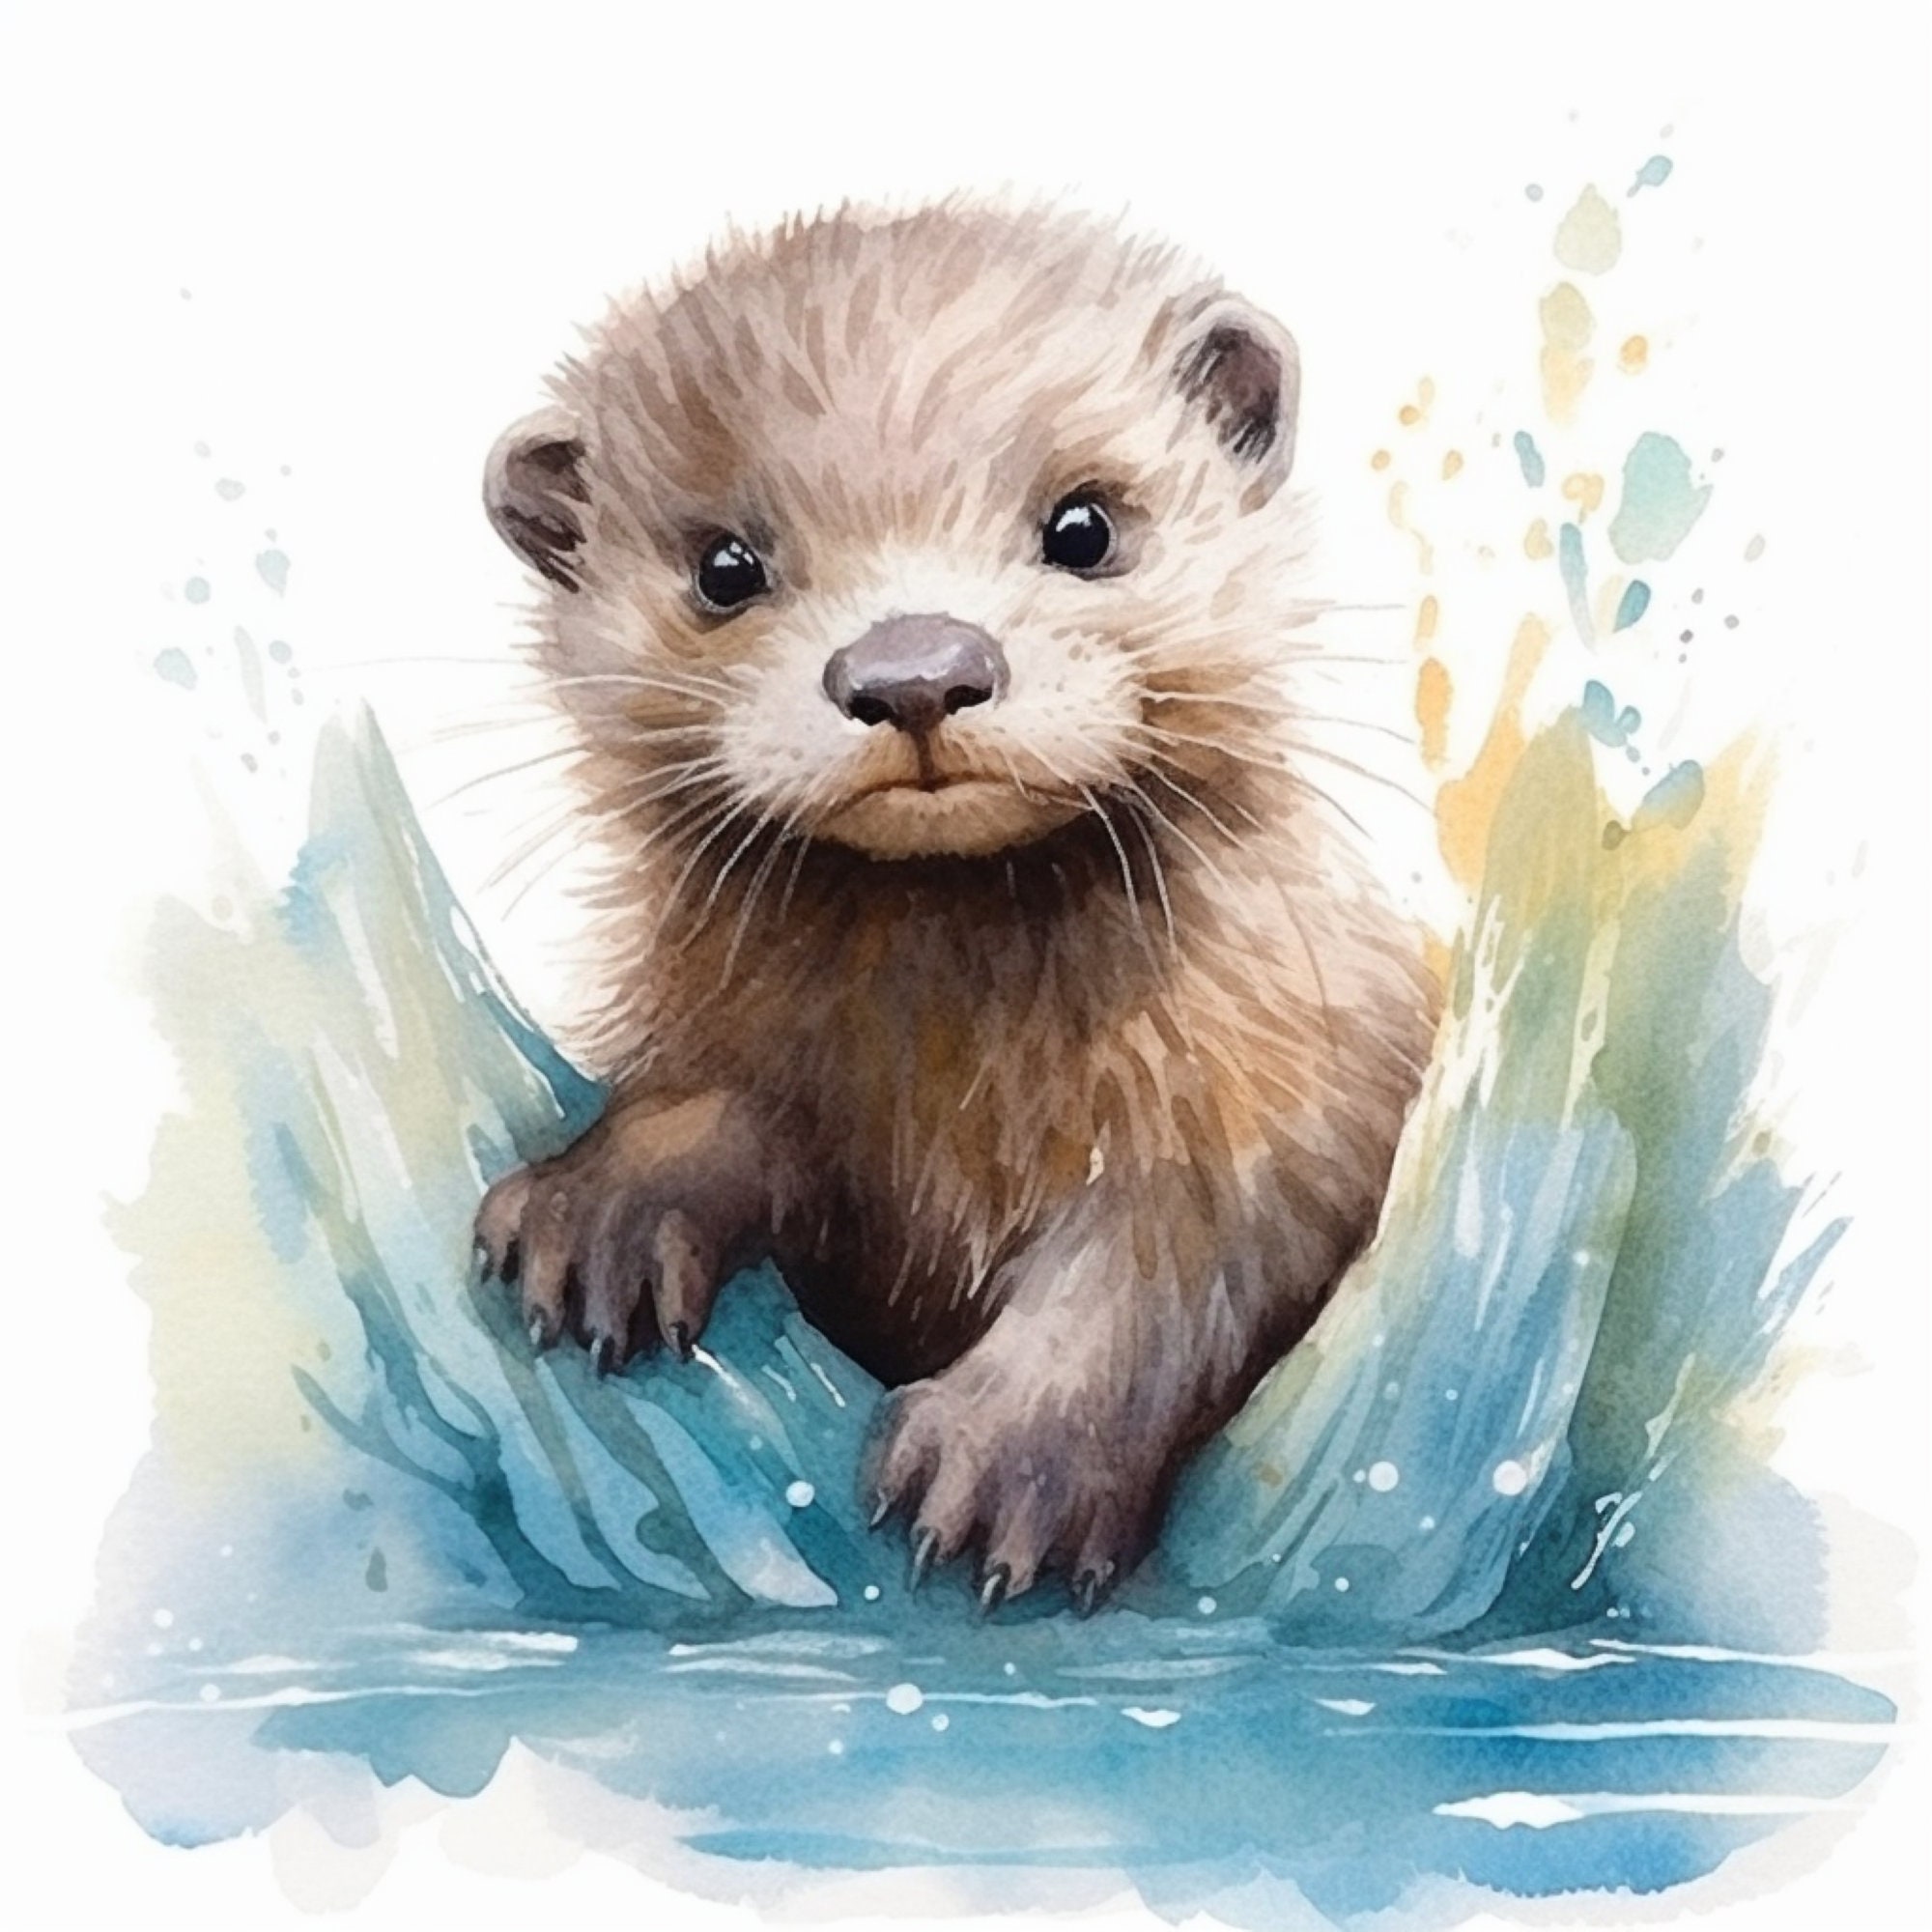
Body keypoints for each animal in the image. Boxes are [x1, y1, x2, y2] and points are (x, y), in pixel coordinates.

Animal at [472, 202, 1438, 1611]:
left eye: (1085, 525)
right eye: (723, 566)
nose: (914, 667)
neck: (954, 1092)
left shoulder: (1295, 1082)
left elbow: (1166, 1265)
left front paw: (1015, 1457)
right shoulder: (745, 1046)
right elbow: (710, 1108)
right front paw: (600, 1212)